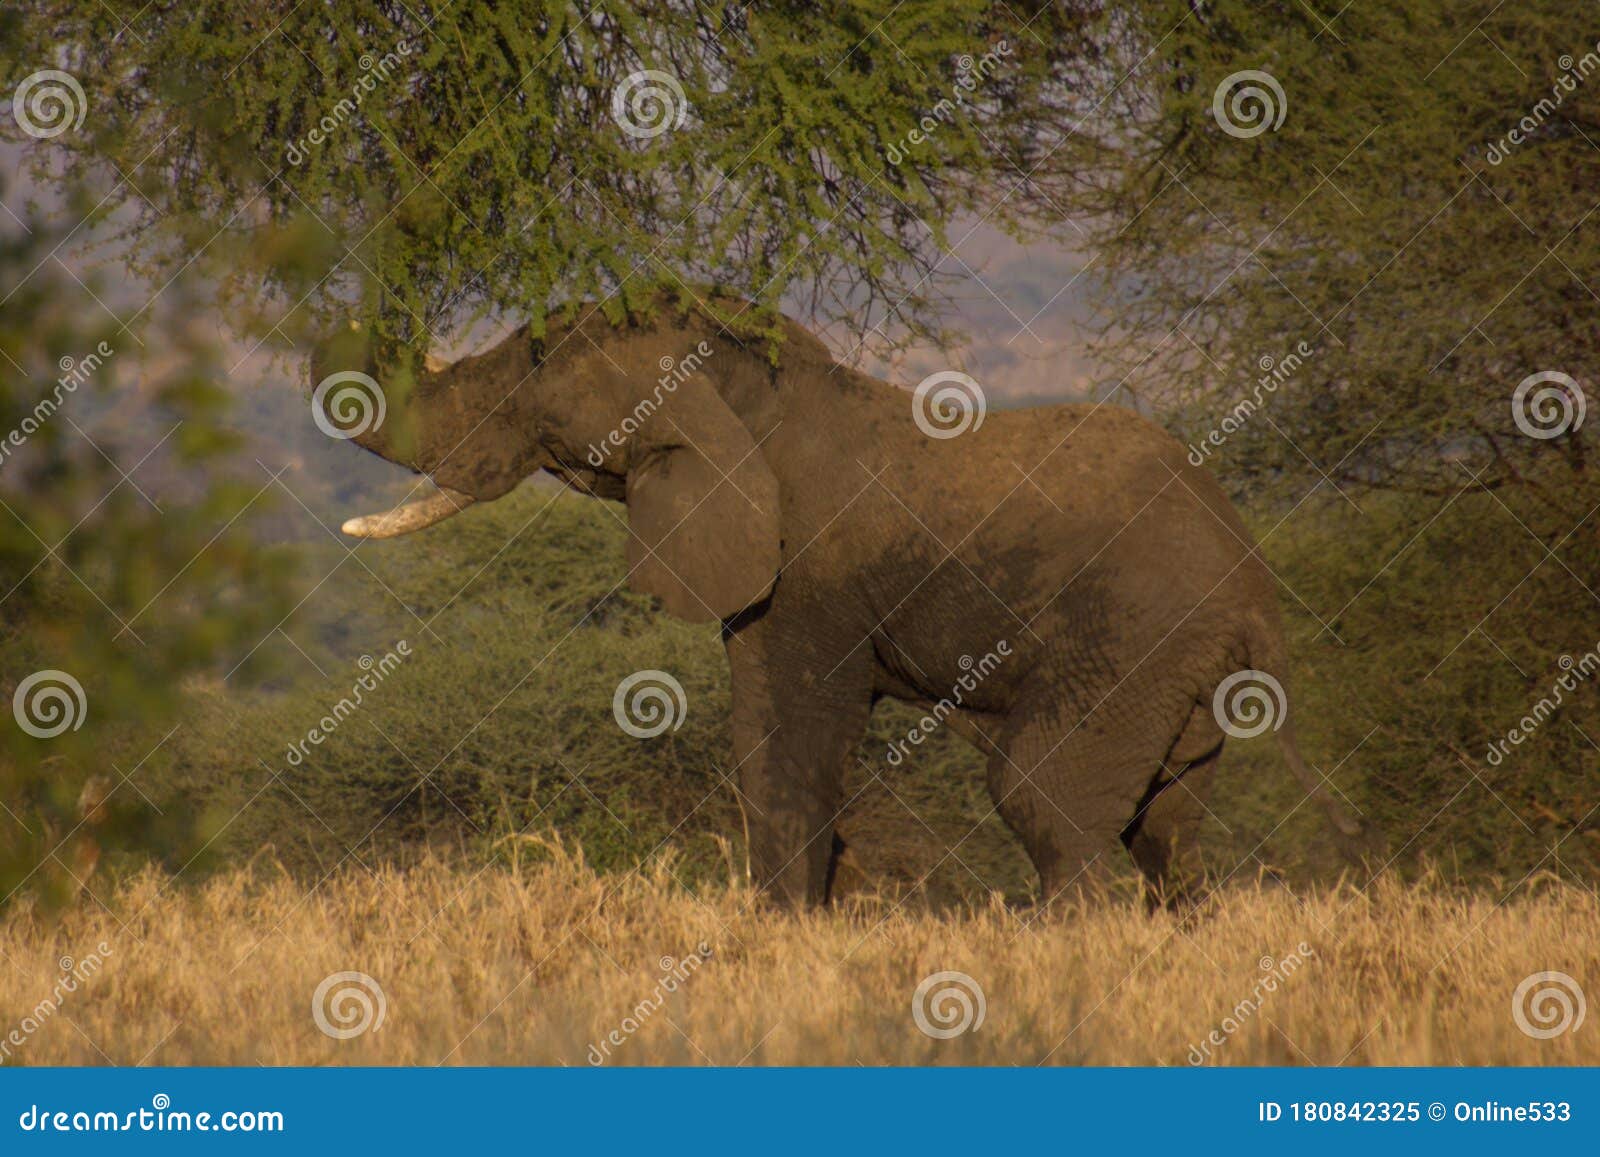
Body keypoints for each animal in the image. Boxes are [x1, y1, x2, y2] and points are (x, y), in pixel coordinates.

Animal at [314, 293, 1374, 906]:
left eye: (536, 365)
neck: (752, 384)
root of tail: (1254, 581)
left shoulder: (803, 580)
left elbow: (787, 736)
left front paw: (781, 930)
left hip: (1133, 638)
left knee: (1041, 794)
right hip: (1179, 672)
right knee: (1164, 822)